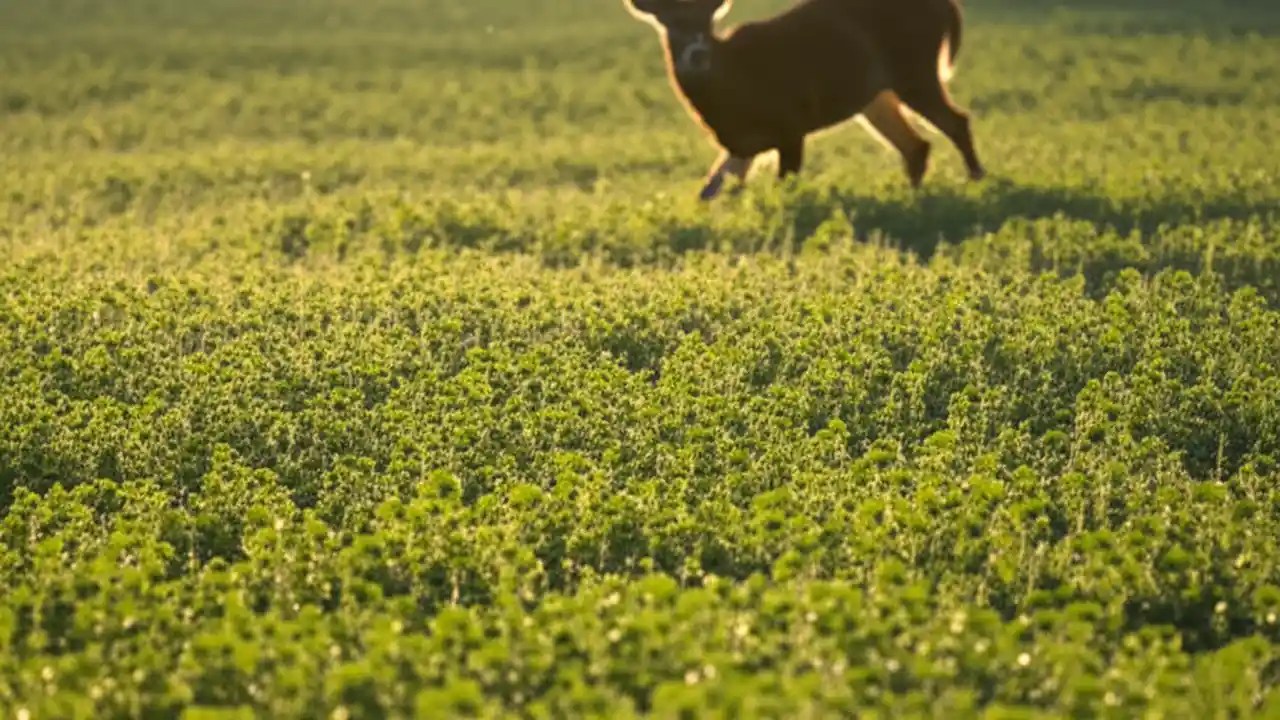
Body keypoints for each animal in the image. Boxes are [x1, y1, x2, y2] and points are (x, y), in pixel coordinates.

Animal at [623, 0, 987, 201]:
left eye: (710, 20)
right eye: (669, 23)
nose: (697, 54)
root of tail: (947, 6)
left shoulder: (790, 124)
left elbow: (784, 187)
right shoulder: (742, 144)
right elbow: (710, 191)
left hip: (915, 69)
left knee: (956, 122)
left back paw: (977, 183)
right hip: (877, 96)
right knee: (916, 146)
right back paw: (915, 197)